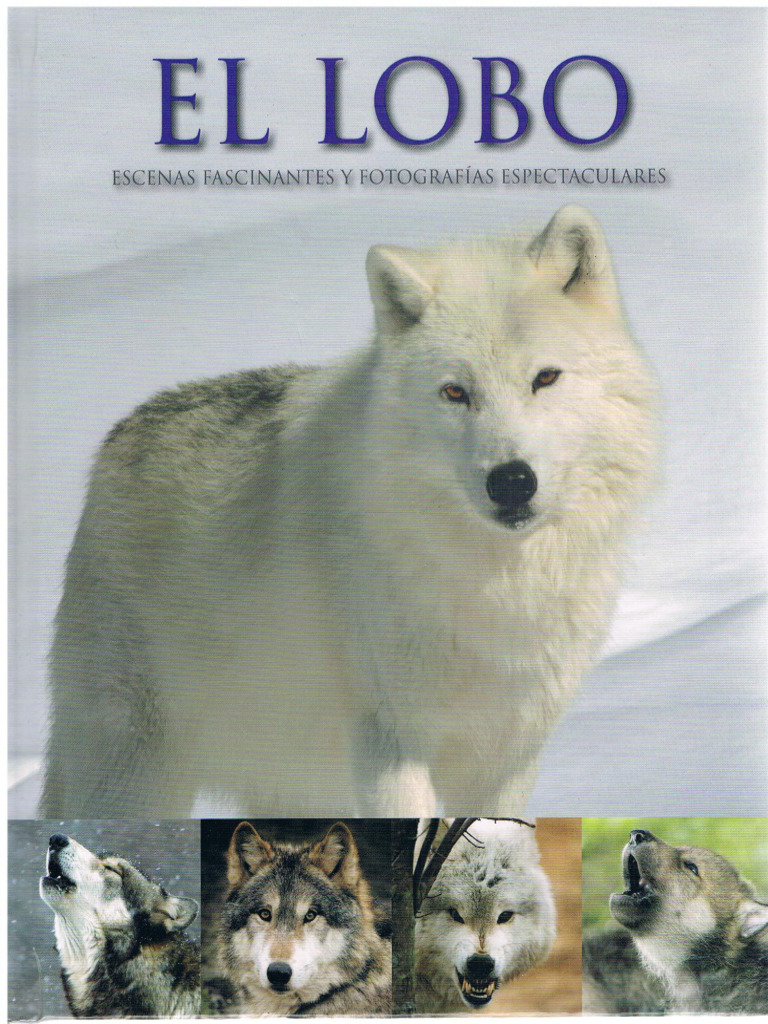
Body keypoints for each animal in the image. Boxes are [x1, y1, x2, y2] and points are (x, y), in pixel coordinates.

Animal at [42, 204, 656, 818]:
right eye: (455, 393)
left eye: (545, 377)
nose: (510, 481)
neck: (500, 584)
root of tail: (119, 435)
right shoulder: (391, 744)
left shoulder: (508, 757)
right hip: (136, 777)